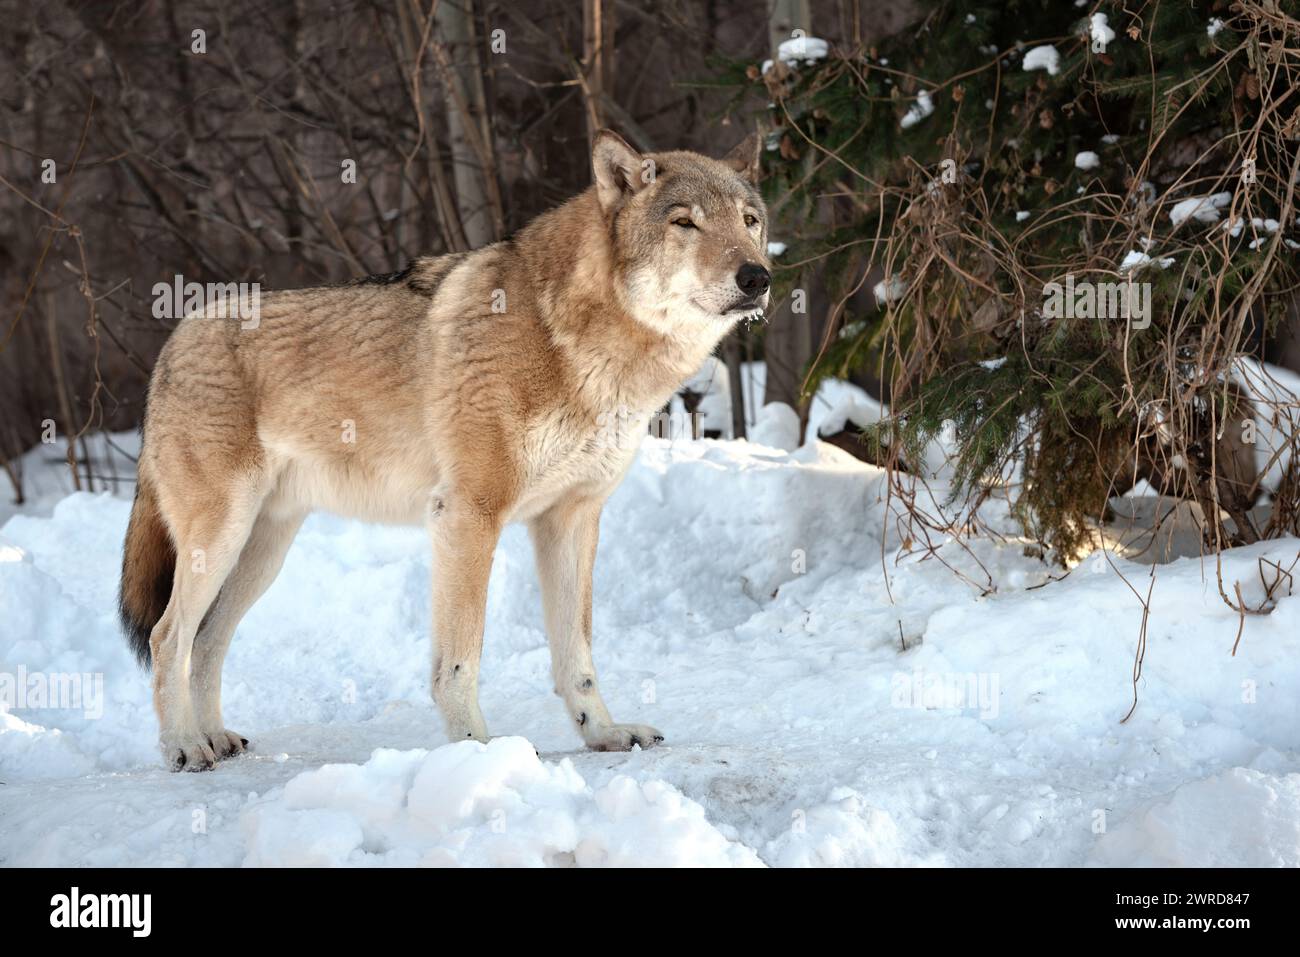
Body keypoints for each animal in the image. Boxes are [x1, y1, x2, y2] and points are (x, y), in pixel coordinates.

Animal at [118, 130, 771, 770]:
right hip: (220, 539)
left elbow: (577, 654)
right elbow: (459, 659)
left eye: (750, 221)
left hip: (263, 553)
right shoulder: (468, 515)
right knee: (167, 636)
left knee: (206, 640)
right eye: (685, 223)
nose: (758, 278)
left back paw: (215, 740)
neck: (574, 340)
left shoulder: (572, 518)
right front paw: (478, 753)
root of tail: (173, 341)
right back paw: (183, 747)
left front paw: (603, 734)